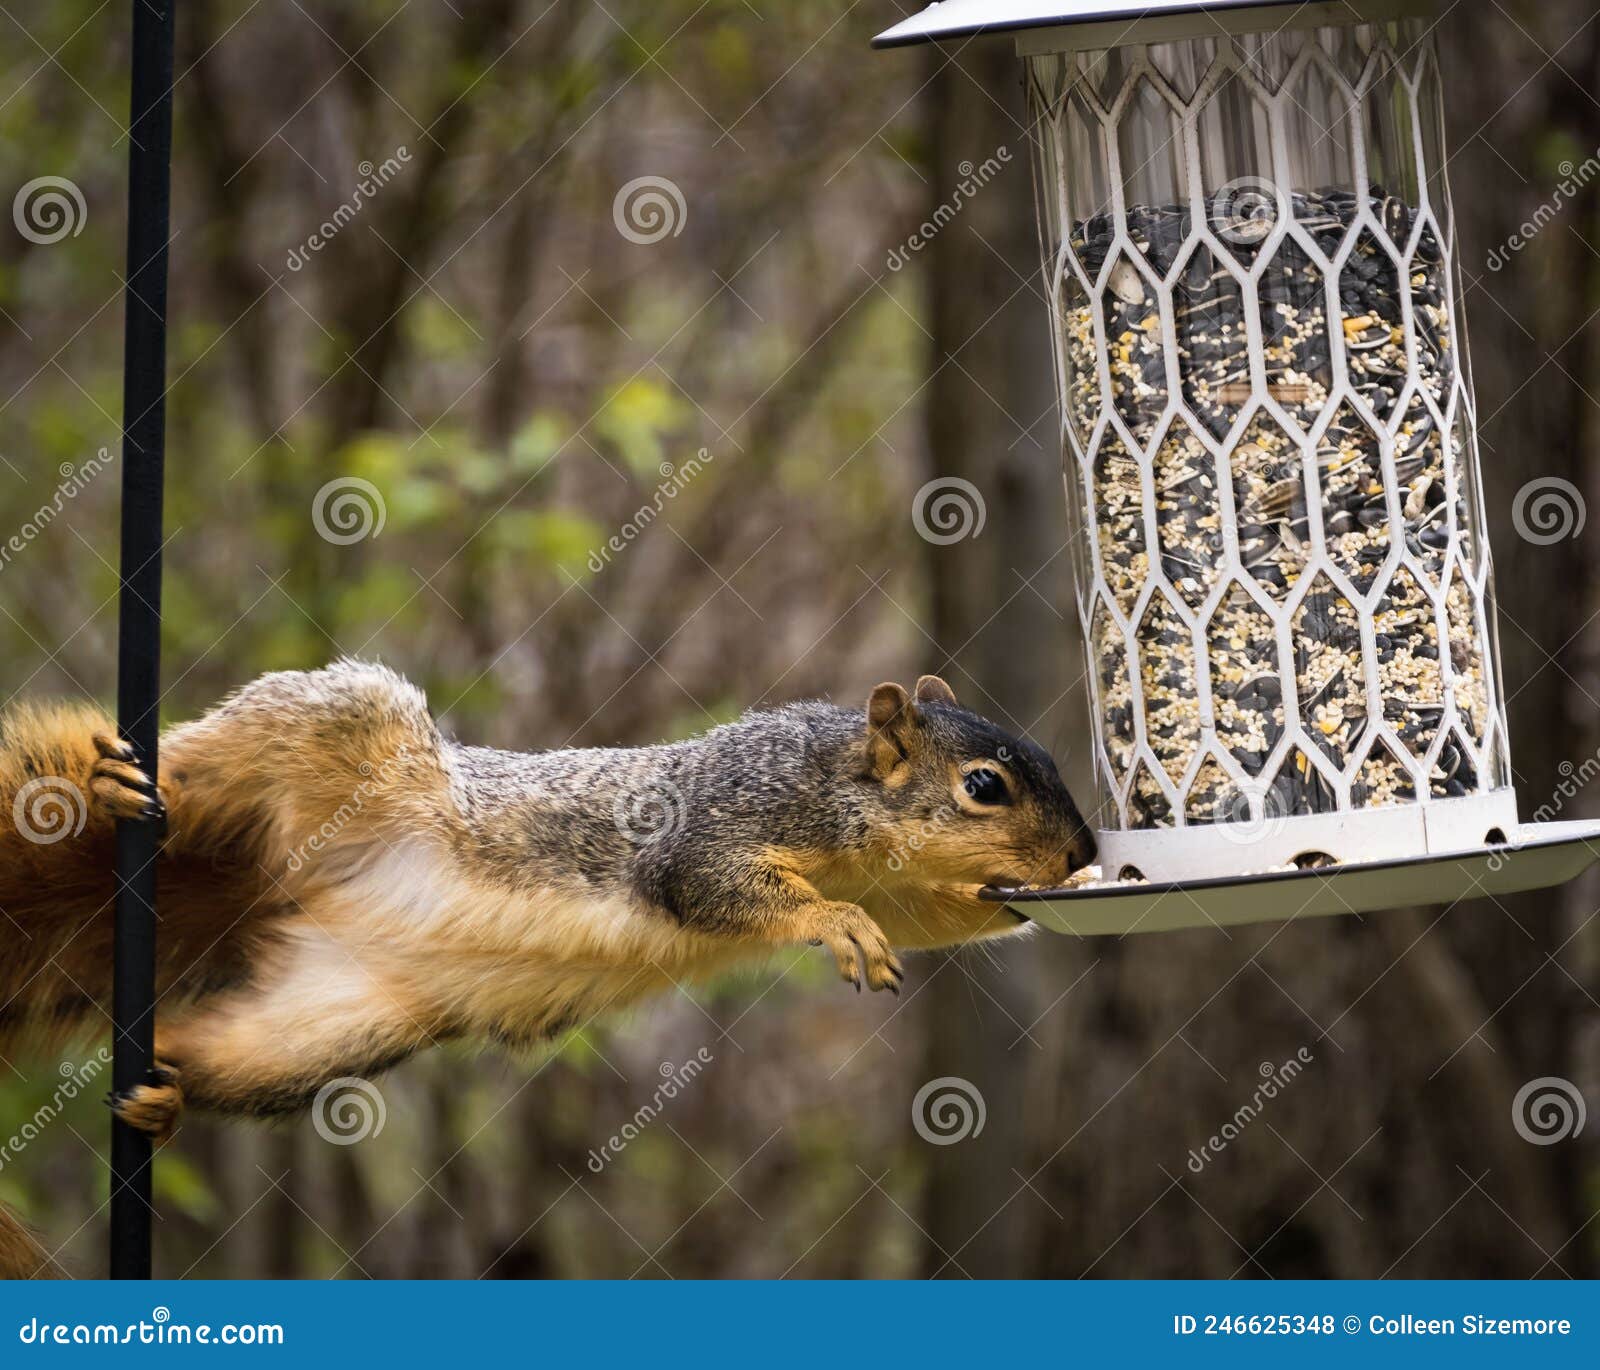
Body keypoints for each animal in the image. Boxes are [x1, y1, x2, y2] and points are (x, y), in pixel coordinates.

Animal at [0, 660, 1093, 1276]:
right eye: (984, 786)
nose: (1081, 853)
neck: (849, 803)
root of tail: (274, 889)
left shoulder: (911, 894)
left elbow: (939, 919)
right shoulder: (722, 818)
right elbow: (716, 882)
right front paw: (837, 923)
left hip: (335, 1022)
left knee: (222, 1051)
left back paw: (167, 1087)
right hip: (330, 734)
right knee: (204, 762)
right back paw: (117, 780)